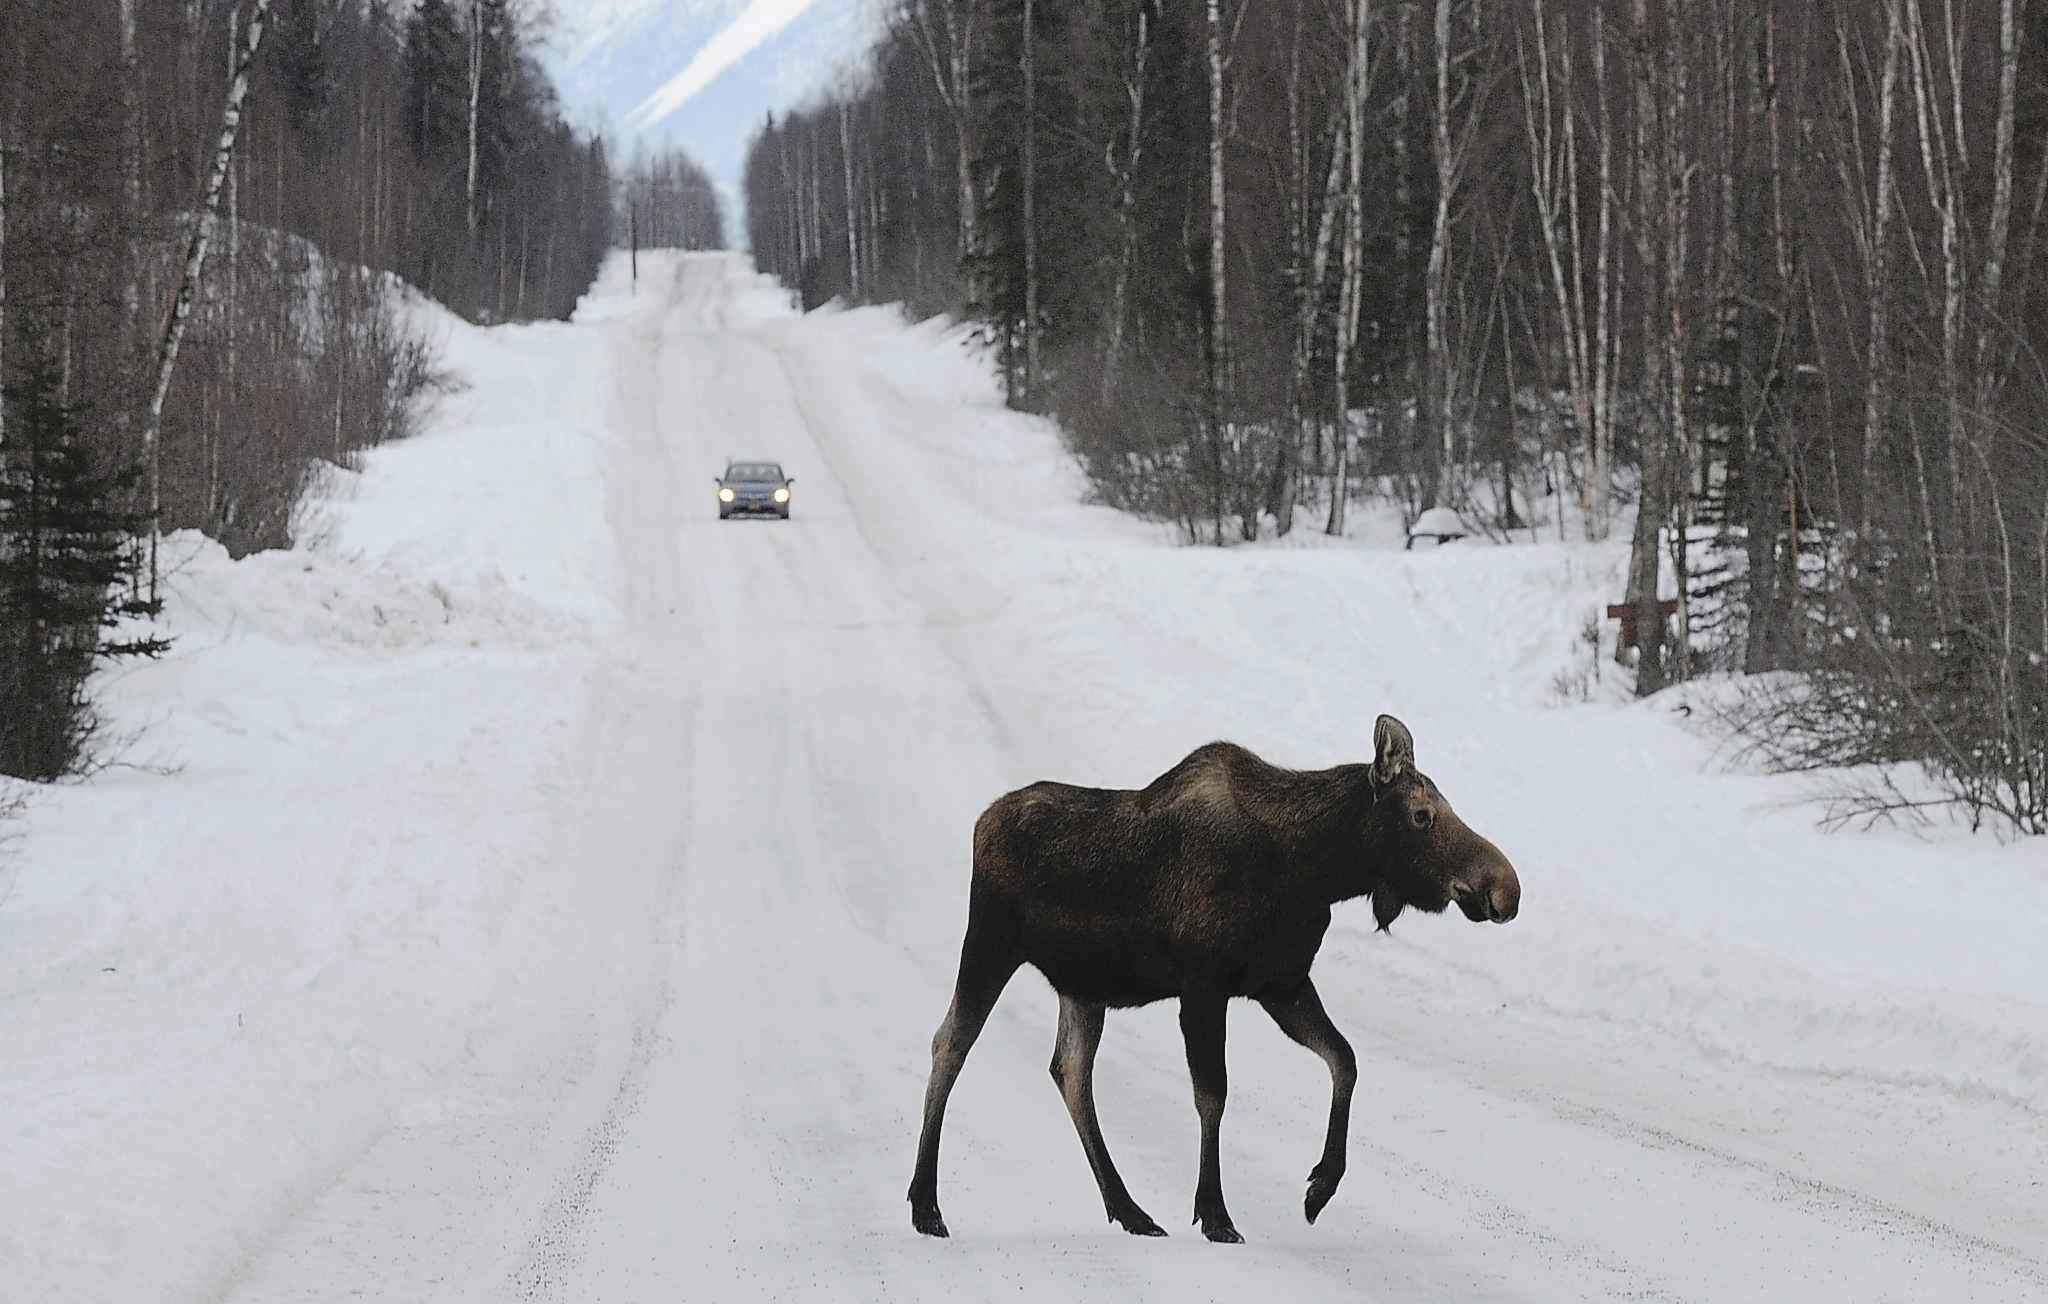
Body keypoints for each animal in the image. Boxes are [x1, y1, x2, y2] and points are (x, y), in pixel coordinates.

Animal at [907, 715, 1521, 1243]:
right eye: (1421, 814)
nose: (1505, 889)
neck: (1313, 869)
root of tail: (981, 822)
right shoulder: (1204, 987)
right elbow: (1214, 1094)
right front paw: (1216, 1213)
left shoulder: (1281, 983)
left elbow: (1343, 1060)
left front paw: (1320, 1188)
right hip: (989, 942)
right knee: (951, 1042)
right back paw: (926, 1205)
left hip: (1081, 987)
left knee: (1070, 1071)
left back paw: (1129, 1209)